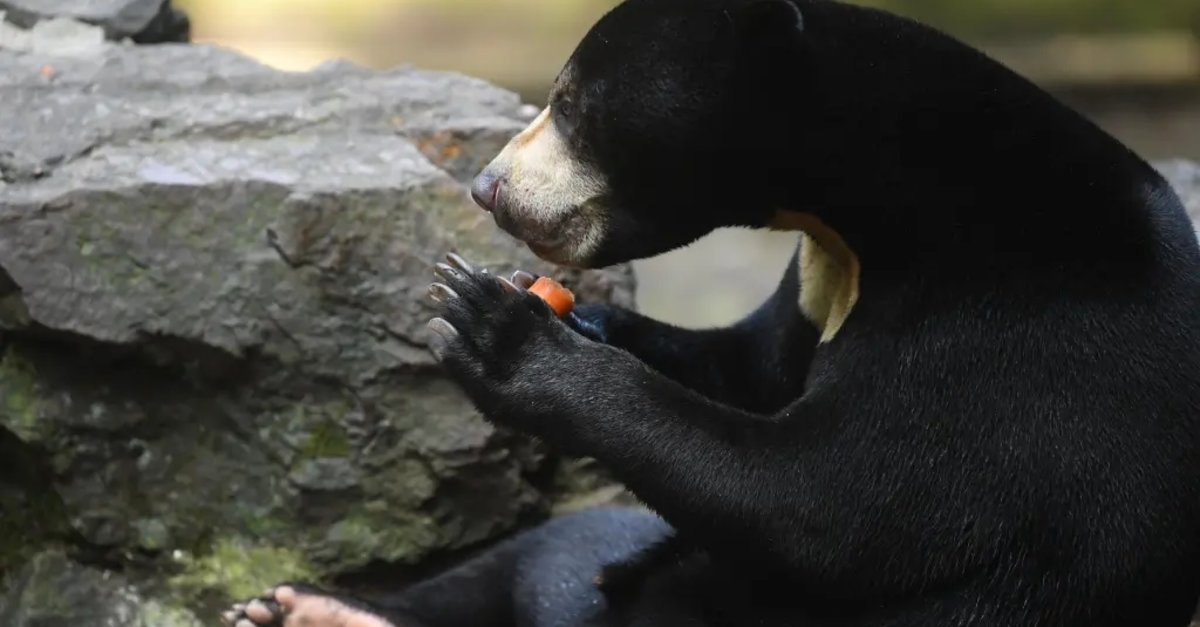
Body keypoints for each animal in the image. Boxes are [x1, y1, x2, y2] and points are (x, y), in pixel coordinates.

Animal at [223, 0, 1200, 625]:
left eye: (571, 102)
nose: (488, 189)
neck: (866, 214)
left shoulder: (1013, 332)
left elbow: (826, 503)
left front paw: (490, 328)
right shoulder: (821, 280)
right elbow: (749, 365)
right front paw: (567, 315)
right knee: (522, 560)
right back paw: (305, 607)